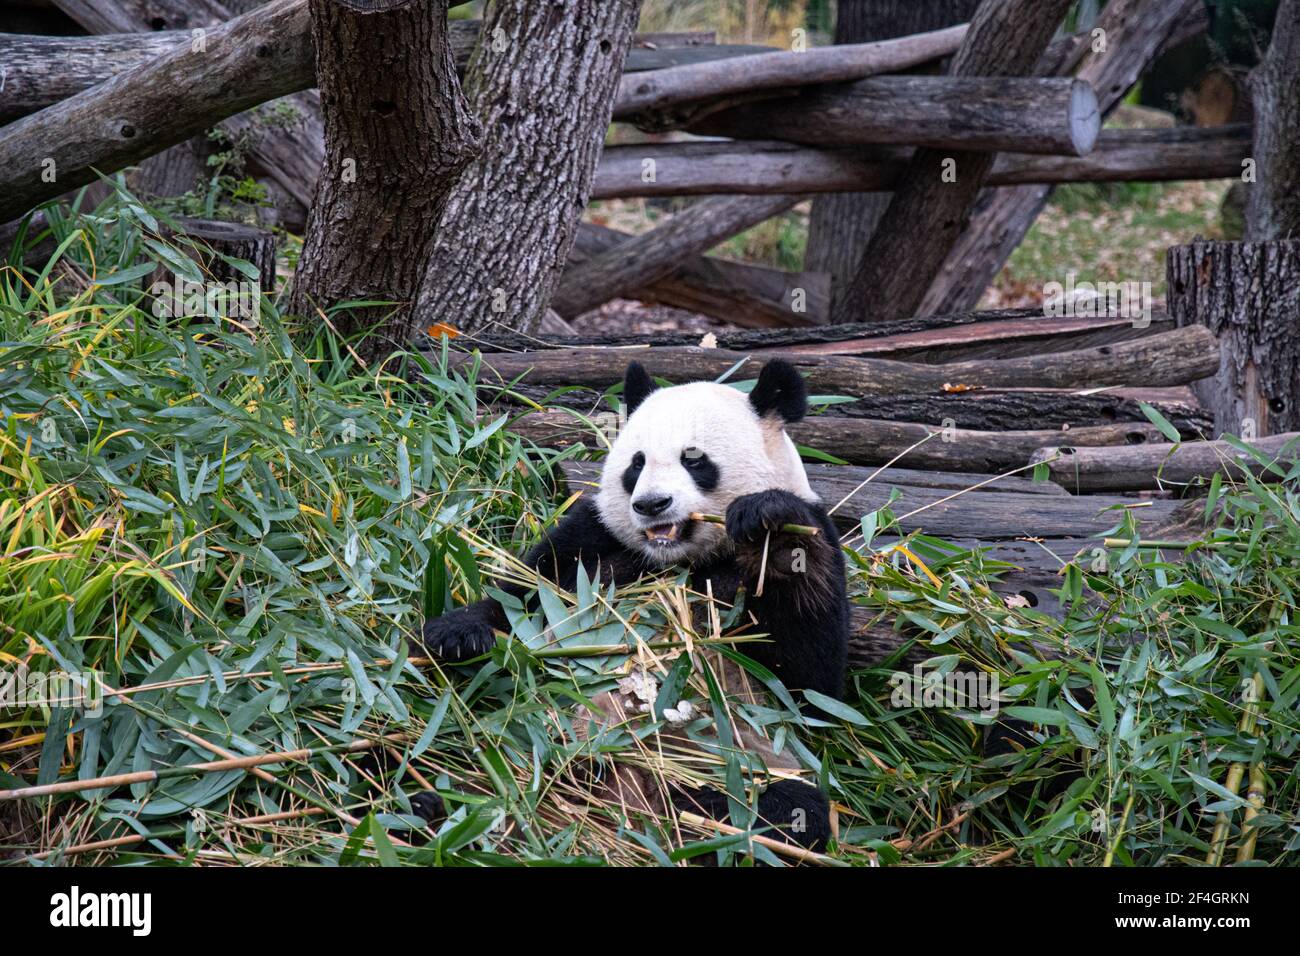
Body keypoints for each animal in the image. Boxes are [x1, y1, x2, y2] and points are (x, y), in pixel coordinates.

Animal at [420, 358, 850, 852]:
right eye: (636, 463)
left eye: (694, 459)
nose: (651, 504)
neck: (677, 559)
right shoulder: (592, 538)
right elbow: (524, 596)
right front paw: (457, 633)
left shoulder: (814, 542)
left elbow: (809, 688)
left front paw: (767, 519)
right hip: (511, 733)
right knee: (463, 751)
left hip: (734, 765)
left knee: (786, 807)